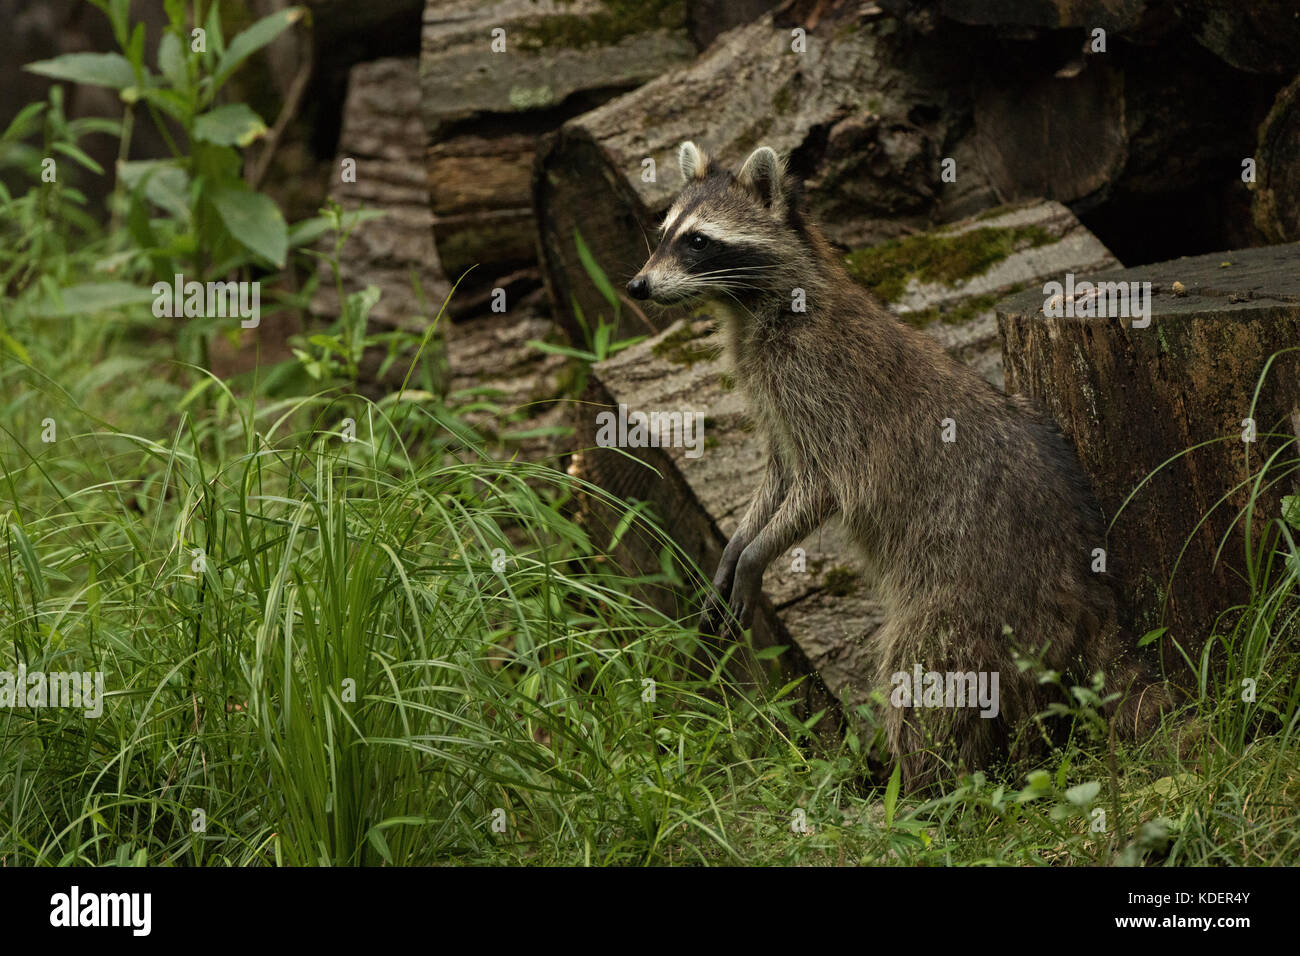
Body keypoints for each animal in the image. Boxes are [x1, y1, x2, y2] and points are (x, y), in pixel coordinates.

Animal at [628, 141, 1167, 789]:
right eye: (663, 233)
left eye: (699, 241)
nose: (636, 285)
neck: (754, 307)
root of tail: (1088, 584)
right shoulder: (774, 402)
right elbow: (779, 477)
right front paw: (738, 544)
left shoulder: (824, 388)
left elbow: (821, 486)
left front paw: (758, 553)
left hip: (978, 587)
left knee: (927, 671)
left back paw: (922, 785)